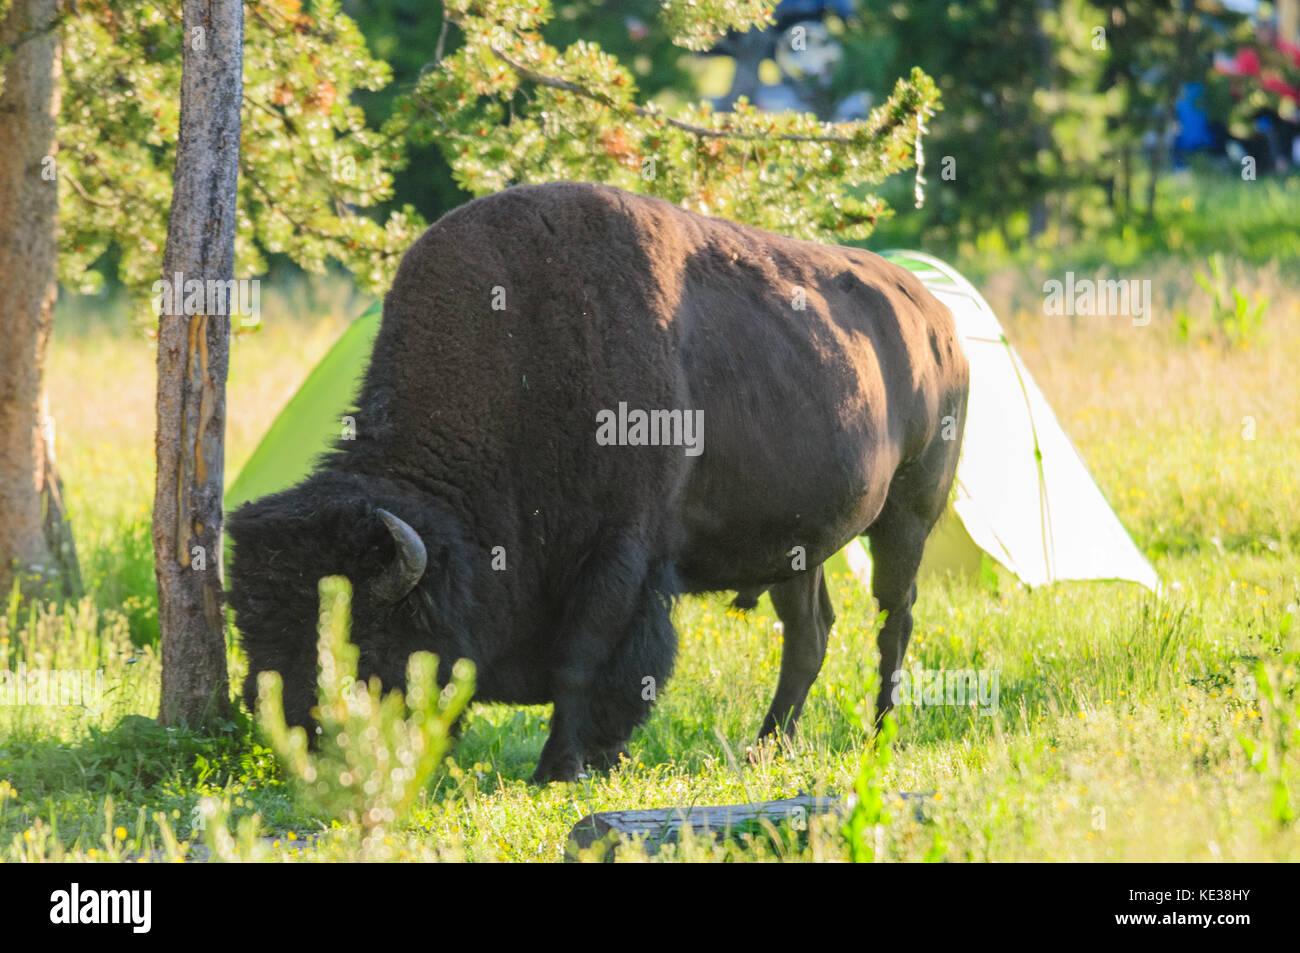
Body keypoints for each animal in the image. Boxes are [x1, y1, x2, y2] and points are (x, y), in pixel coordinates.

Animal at [227, 182, 969, 783]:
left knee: (894, 618)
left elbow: (581, 663)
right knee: (809, 634)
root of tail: (939, 324)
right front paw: (599, 758)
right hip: (800, 548)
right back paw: (769, 747)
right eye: (252, 631)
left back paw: (878, 736)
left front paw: (562, 768)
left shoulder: (616, 559)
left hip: (908, 515)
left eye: (361, 639)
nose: (303, 746)